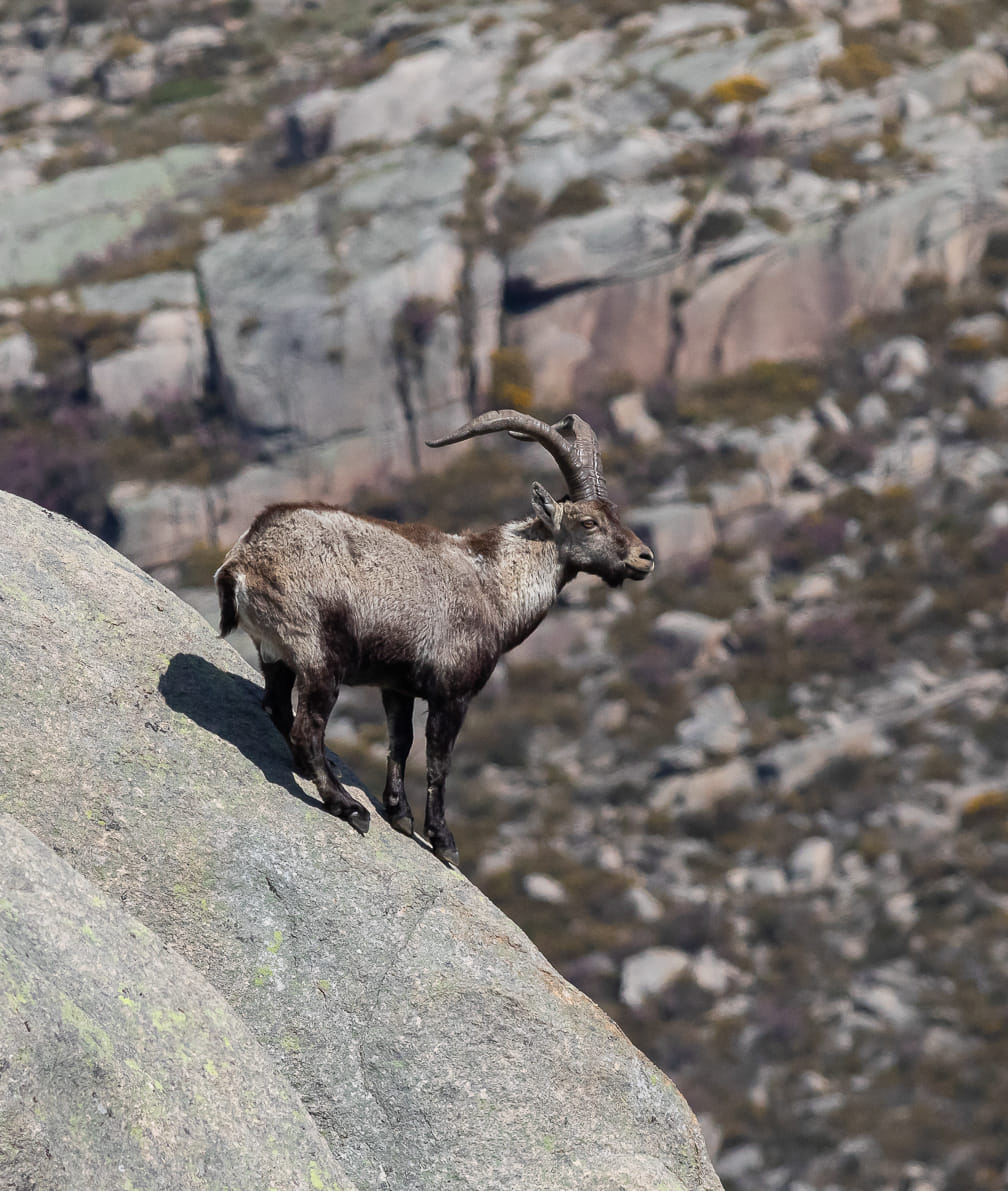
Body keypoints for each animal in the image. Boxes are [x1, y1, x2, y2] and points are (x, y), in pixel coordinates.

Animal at [214, 409, 654, 865]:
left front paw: (400, 815)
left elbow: (400, 743)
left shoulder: (397, 685)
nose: (644, 558)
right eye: (588, 522)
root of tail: (241, 562)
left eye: (614, 513)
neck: (492, 584)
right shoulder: (452, 692)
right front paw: (443, 841)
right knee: (307, 729)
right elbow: (438, 762)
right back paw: (349, 808)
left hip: (276, 653)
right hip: (319, 658)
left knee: (278, 707)